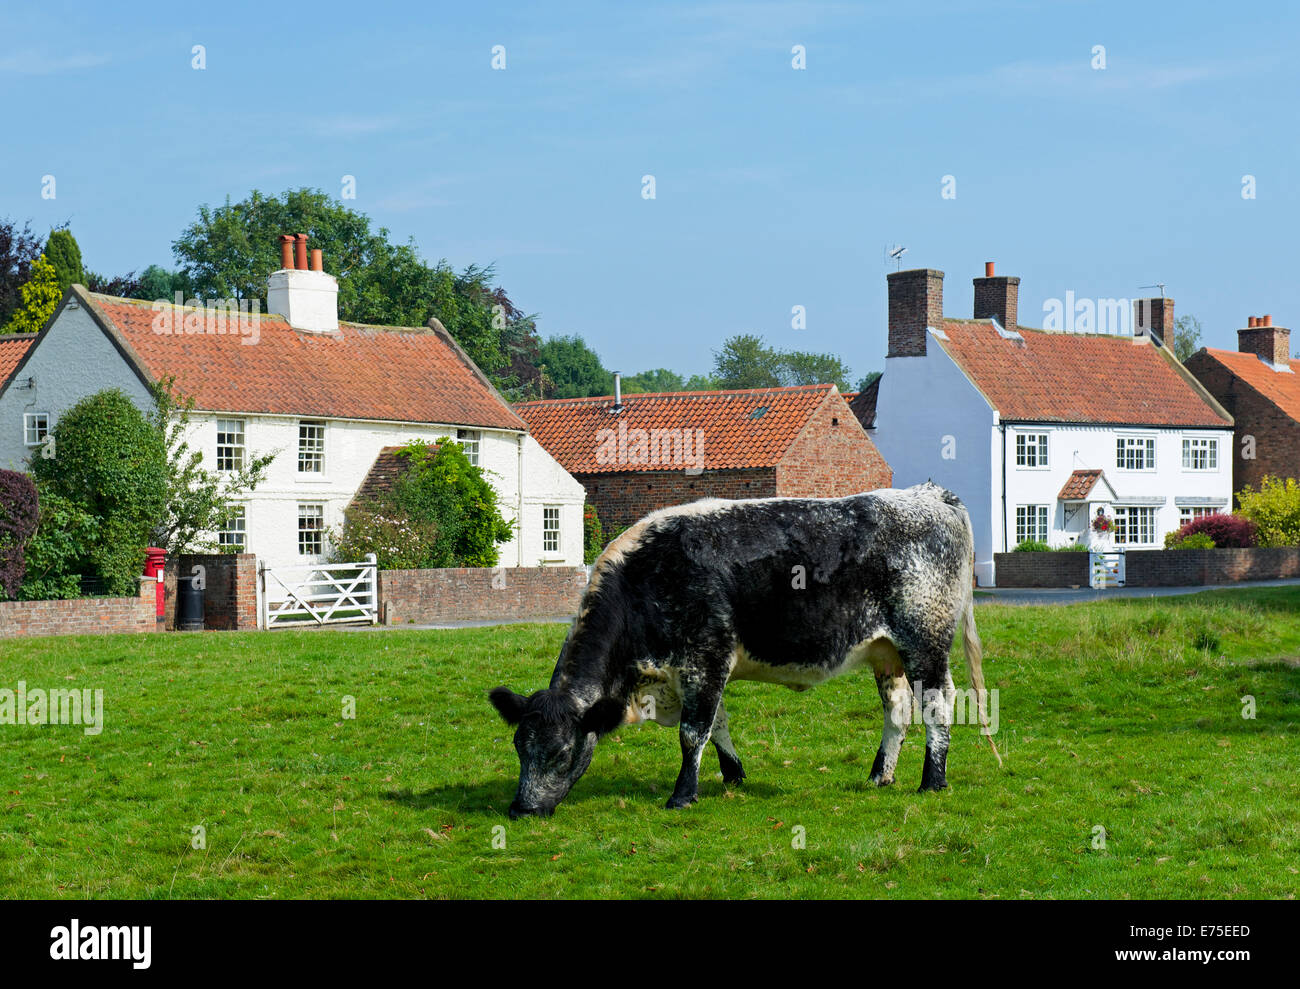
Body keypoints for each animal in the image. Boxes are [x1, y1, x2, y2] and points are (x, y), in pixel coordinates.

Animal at [489, 482, 999, 818]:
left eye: (560, 754)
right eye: (519, 748)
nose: (520, 810)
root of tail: (929, 494)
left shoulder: (704, 659)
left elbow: (693, 731)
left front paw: (682, 794)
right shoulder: (693, 672)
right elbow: (717, 724)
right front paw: (733, 774)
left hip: (925, 641)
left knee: (937, 705)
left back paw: (932, 781)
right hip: (886, 651)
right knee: (898, 708)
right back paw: (880, 775)